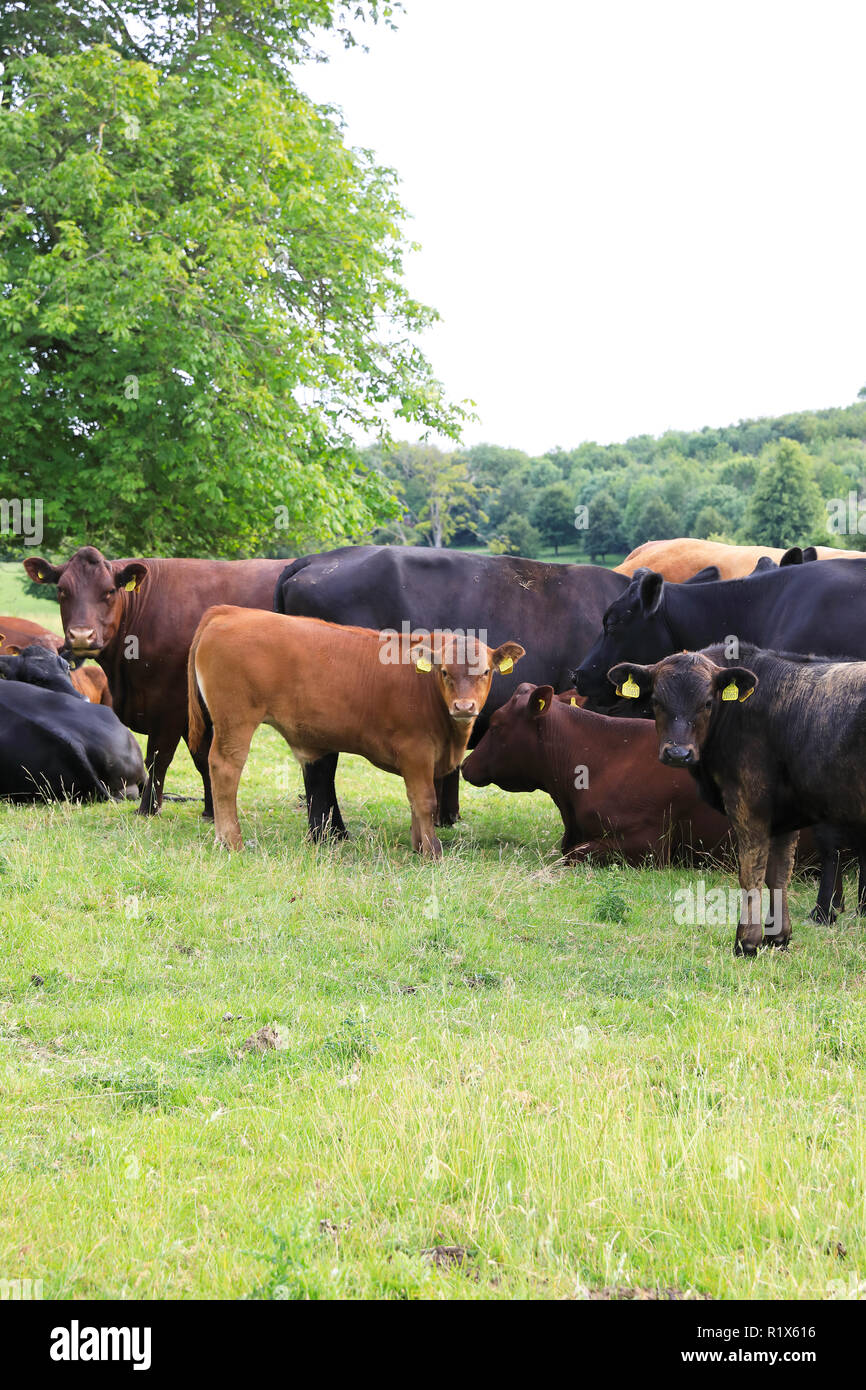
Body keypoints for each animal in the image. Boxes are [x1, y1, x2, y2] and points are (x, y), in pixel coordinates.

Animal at [24, 548, 288, 815]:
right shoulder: (188, 713)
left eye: (109, 591)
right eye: (62, 590)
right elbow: (201, 758)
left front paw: (148, 809)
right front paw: (210, 811)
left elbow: (158, 758)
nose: (81, 635)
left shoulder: (170, 702)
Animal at [186, 605, 524, 856]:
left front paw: (418, 845)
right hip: (236, 720)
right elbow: (425, 800)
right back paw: (231, 840)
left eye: (485, 672)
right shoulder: (415, 750)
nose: (464, 707)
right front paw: (432, 851)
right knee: (225, 769)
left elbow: (414, 800)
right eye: (444, 672)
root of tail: (229, 611)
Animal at [605, 644, 866, 955]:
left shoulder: (749, 804)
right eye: (656, 700)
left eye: (707, 702)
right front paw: (778, 937)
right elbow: (779, 874)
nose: (678, 753)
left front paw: (746, 942)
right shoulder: (784, 815)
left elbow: (751, 872)